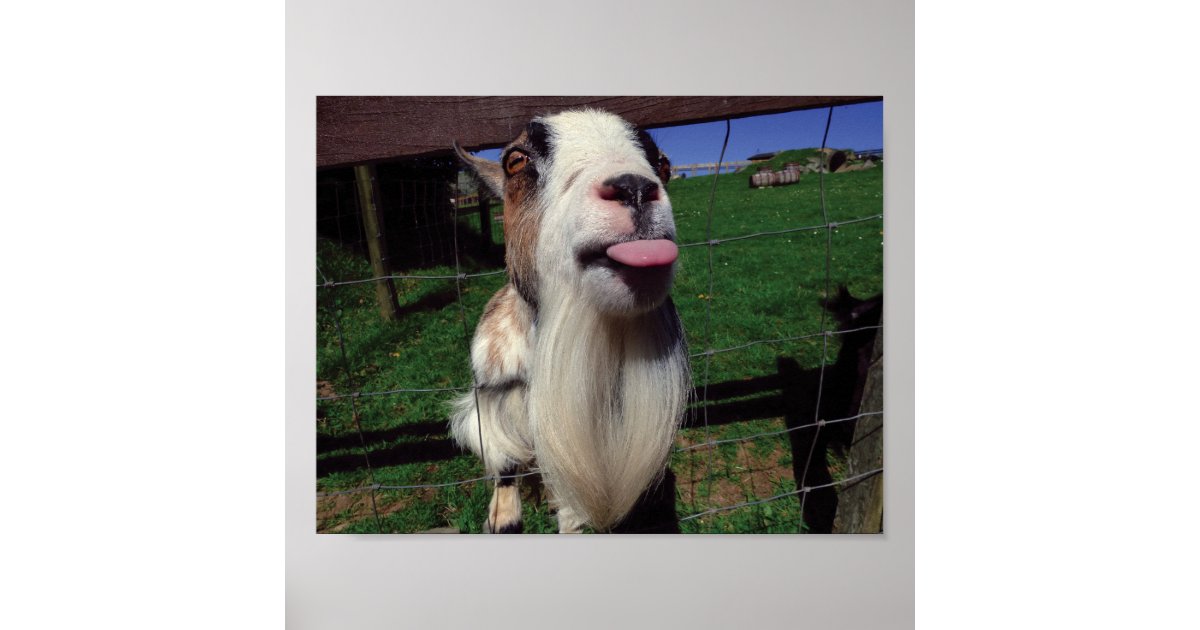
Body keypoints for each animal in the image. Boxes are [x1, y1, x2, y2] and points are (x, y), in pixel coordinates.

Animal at [449, 109, 689, 533]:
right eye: (515, 160)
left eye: (663, 164)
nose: (633, 188)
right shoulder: (491, 401)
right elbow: (504, 461)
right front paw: (503, 518)